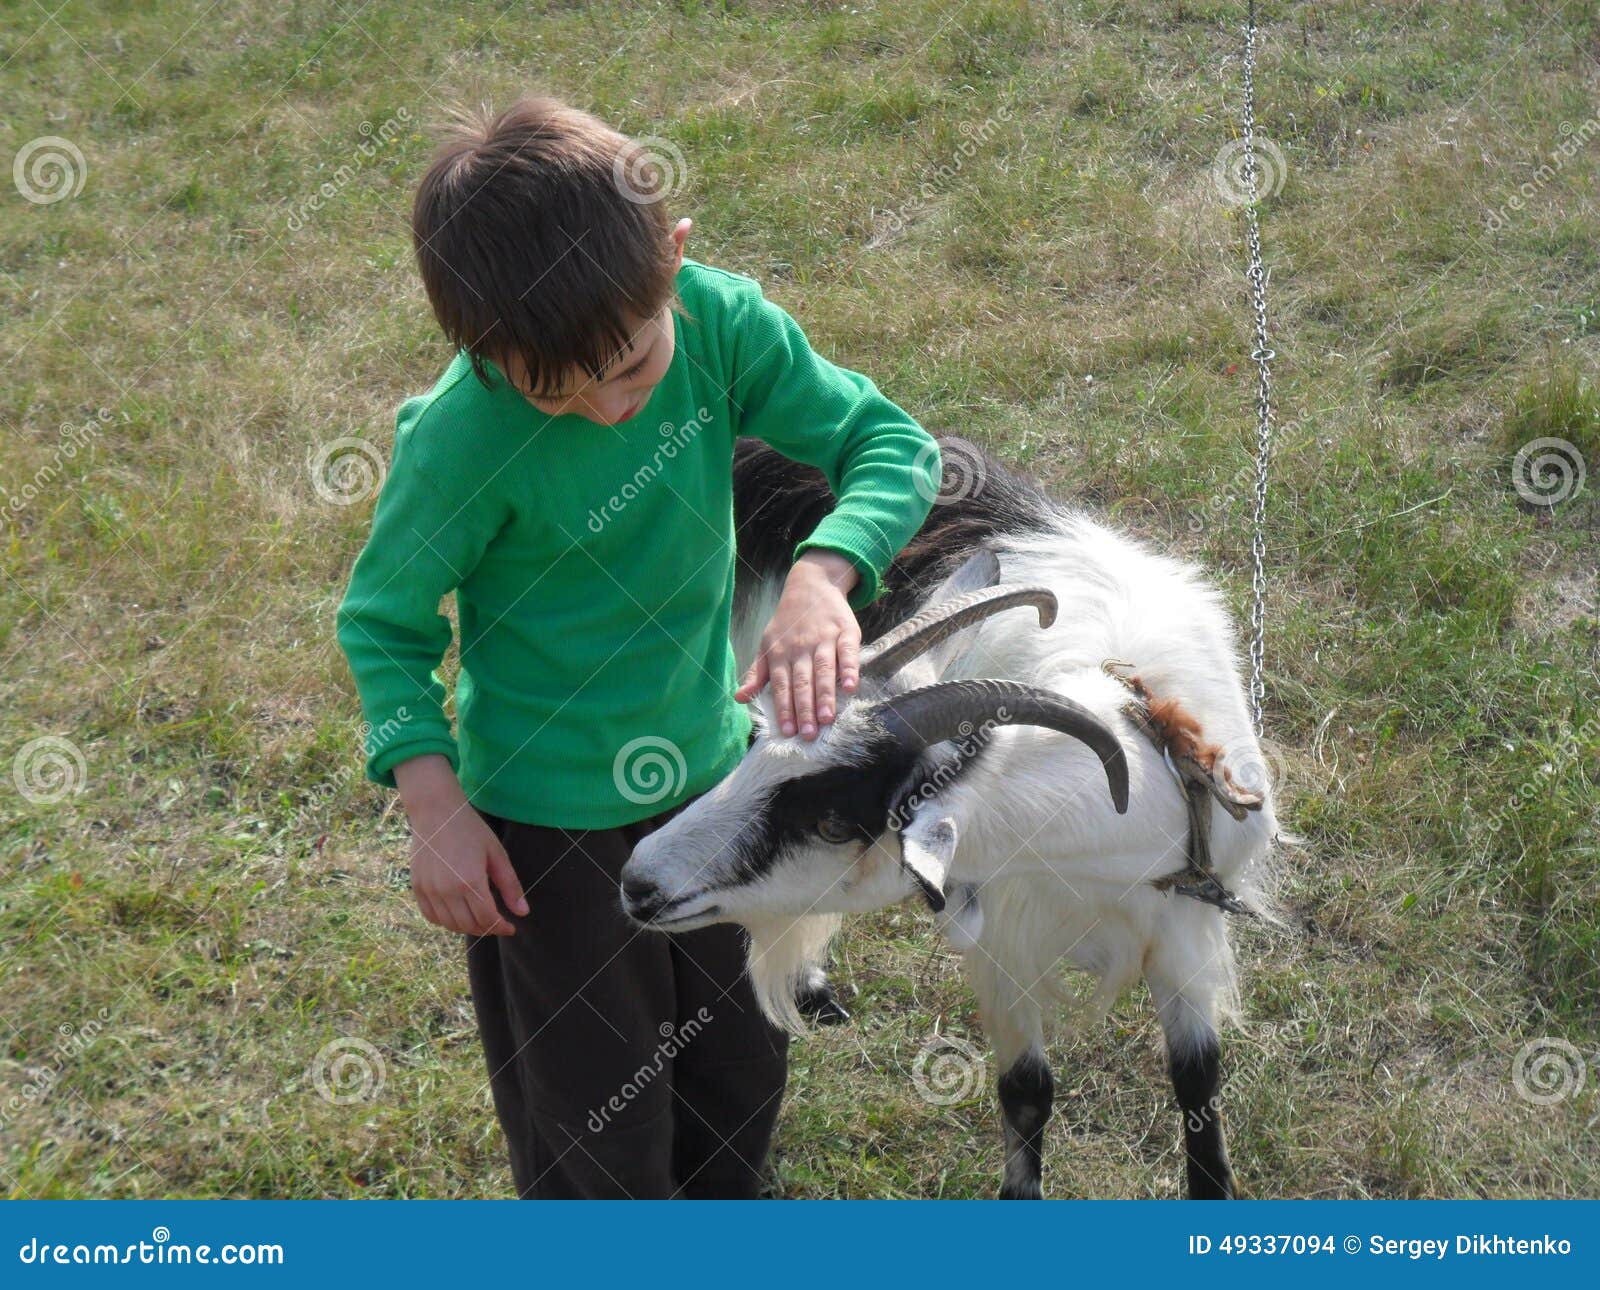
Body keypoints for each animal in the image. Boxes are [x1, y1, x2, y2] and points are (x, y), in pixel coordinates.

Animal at [620, 437, 1277, 1199]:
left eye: (835, 822)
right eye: (751, 744)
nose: (638, 883)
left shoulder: (1184, 925)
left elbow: (1198, 1083)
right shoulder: (1004, 941)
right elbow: (1026, 1091)